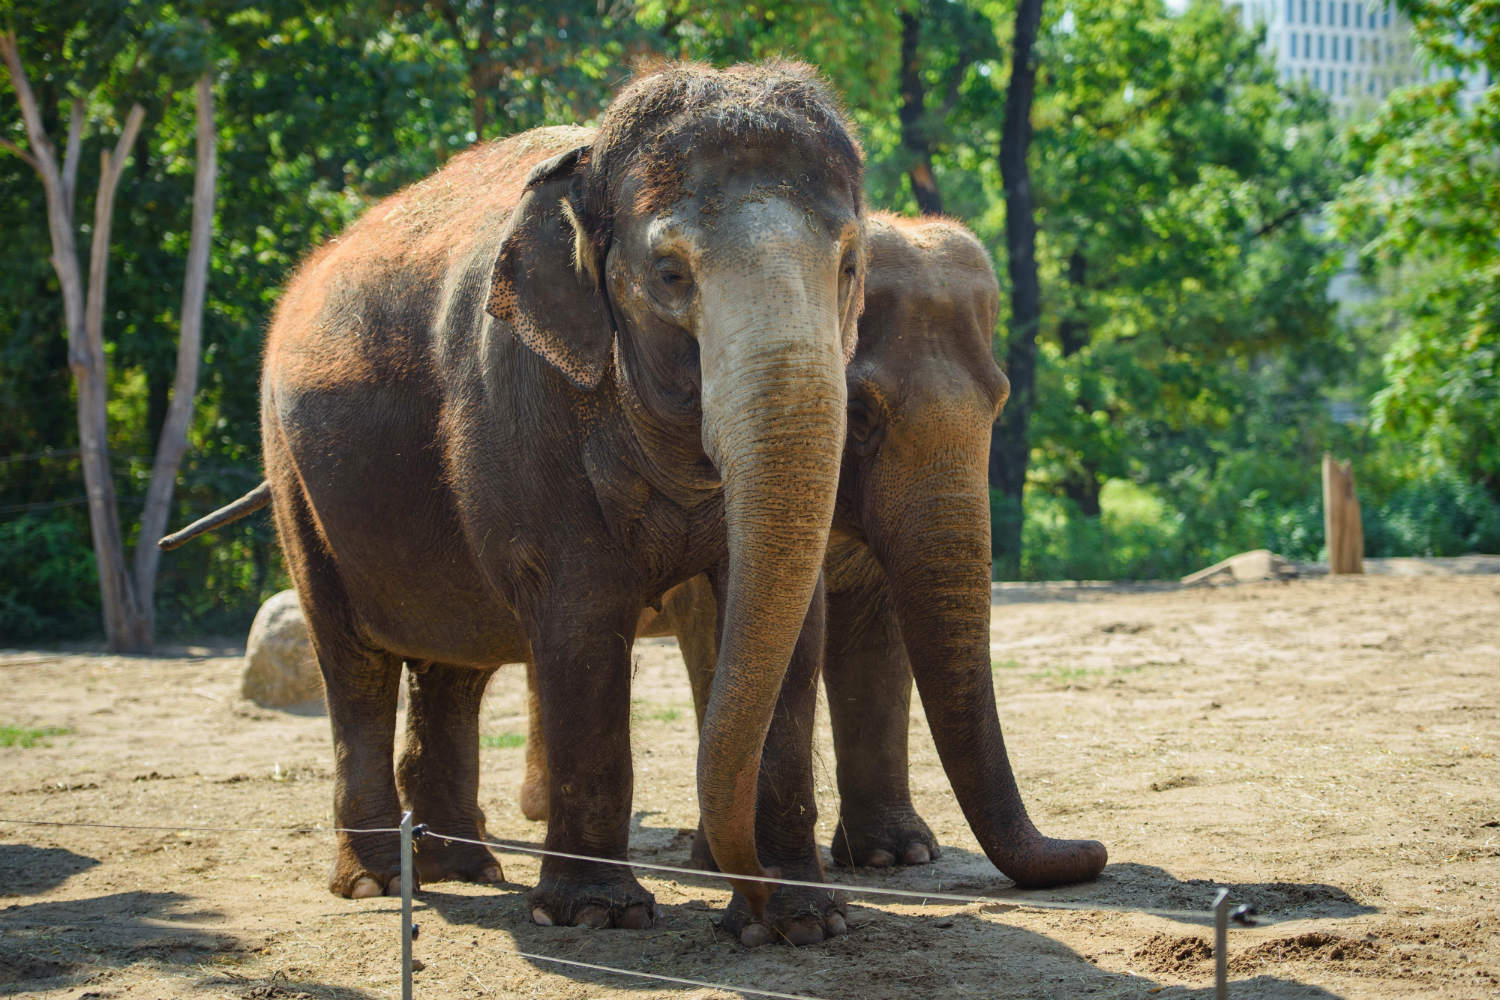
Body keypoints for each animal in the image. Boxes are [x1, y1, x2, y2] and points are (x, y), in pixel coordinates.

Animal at [173, 63, 866, 943]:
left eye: (849, 266)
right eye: (671, 274)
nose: (751, 903)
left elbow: (795, 624)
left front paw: (808, 923)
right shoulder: (518, 399)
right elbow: (579, 615)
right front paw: (597, 916)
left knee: (452, 664)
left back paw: (459, 867)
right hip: (293, 471)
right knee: (353, 660)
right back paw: (378, 882)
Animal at [519, 212, 1108, 889]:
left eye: (1001, 402)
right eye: (861, 414)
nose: (1092, 850)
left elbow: (877, 640)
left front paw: (896, 856)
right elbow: (712, 626)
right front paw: (721, 859)